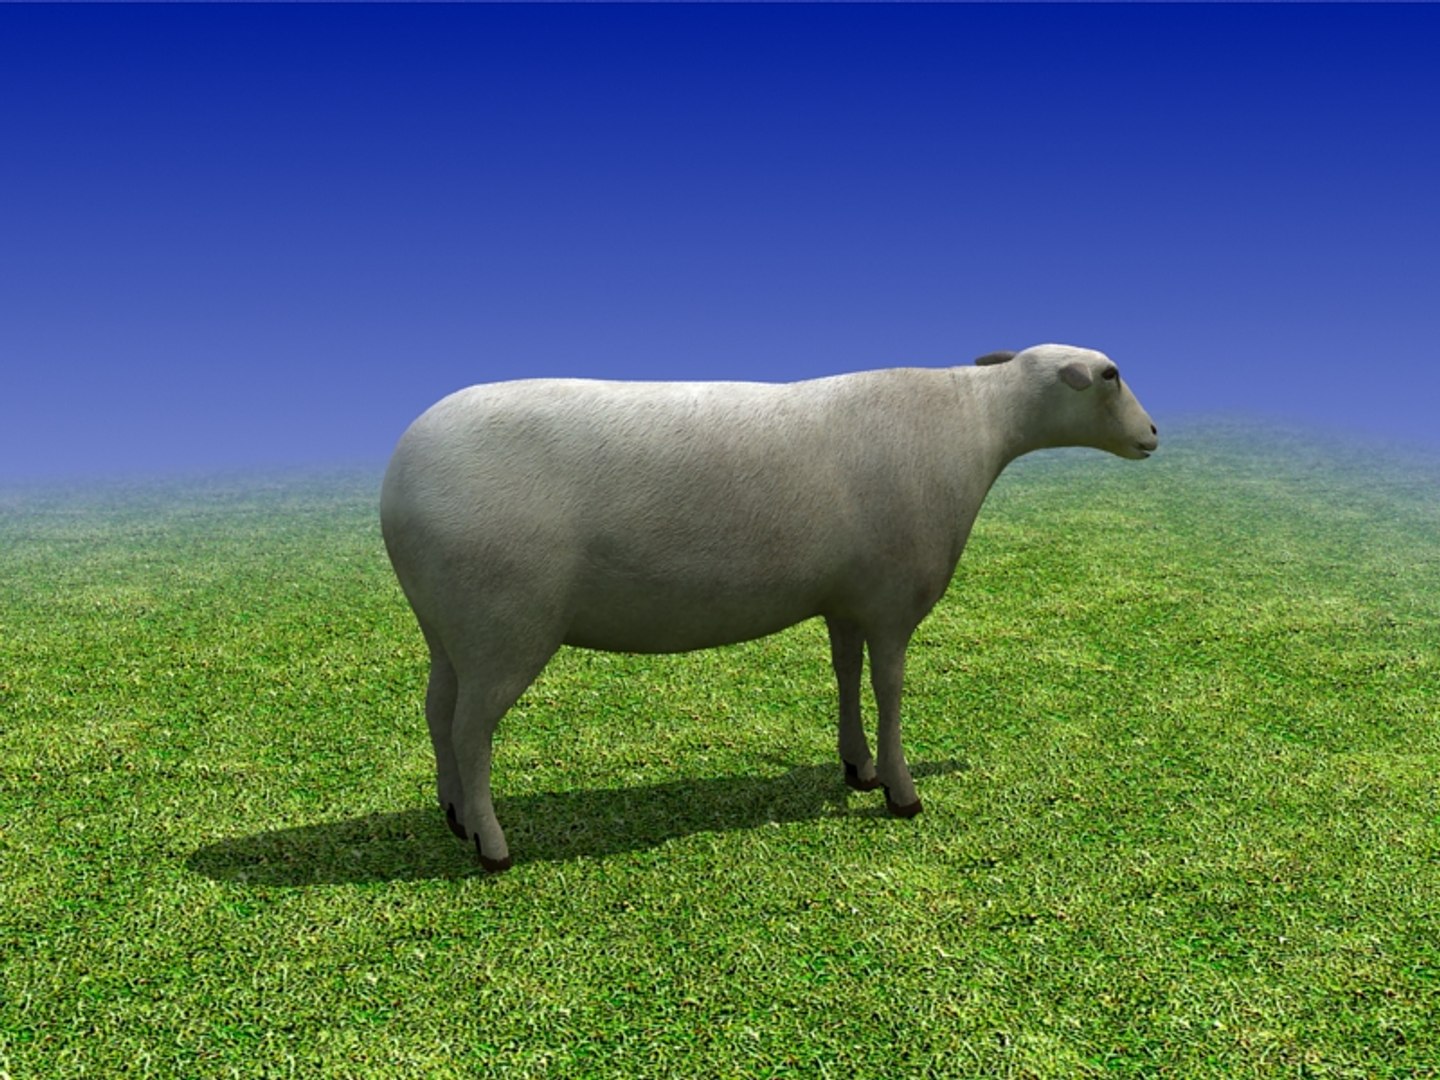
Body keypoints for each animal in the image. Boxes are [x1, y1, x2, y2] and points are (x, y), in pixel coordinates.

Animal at [380, 343, 1158, 871]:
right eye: (1110, 376)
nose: (1153, 436)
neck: (978, 422)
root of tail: (398, 475)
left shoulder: (847, 599)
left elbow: (846, 676)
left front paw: (858, 768)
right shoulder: (891, 601)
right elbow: (890, 688)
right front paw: (902, 792)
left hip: (449, 626)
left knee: (437, 711)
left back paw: (452, 814)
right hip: (505, 624)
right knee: (472, 729)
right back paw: (491, 843)